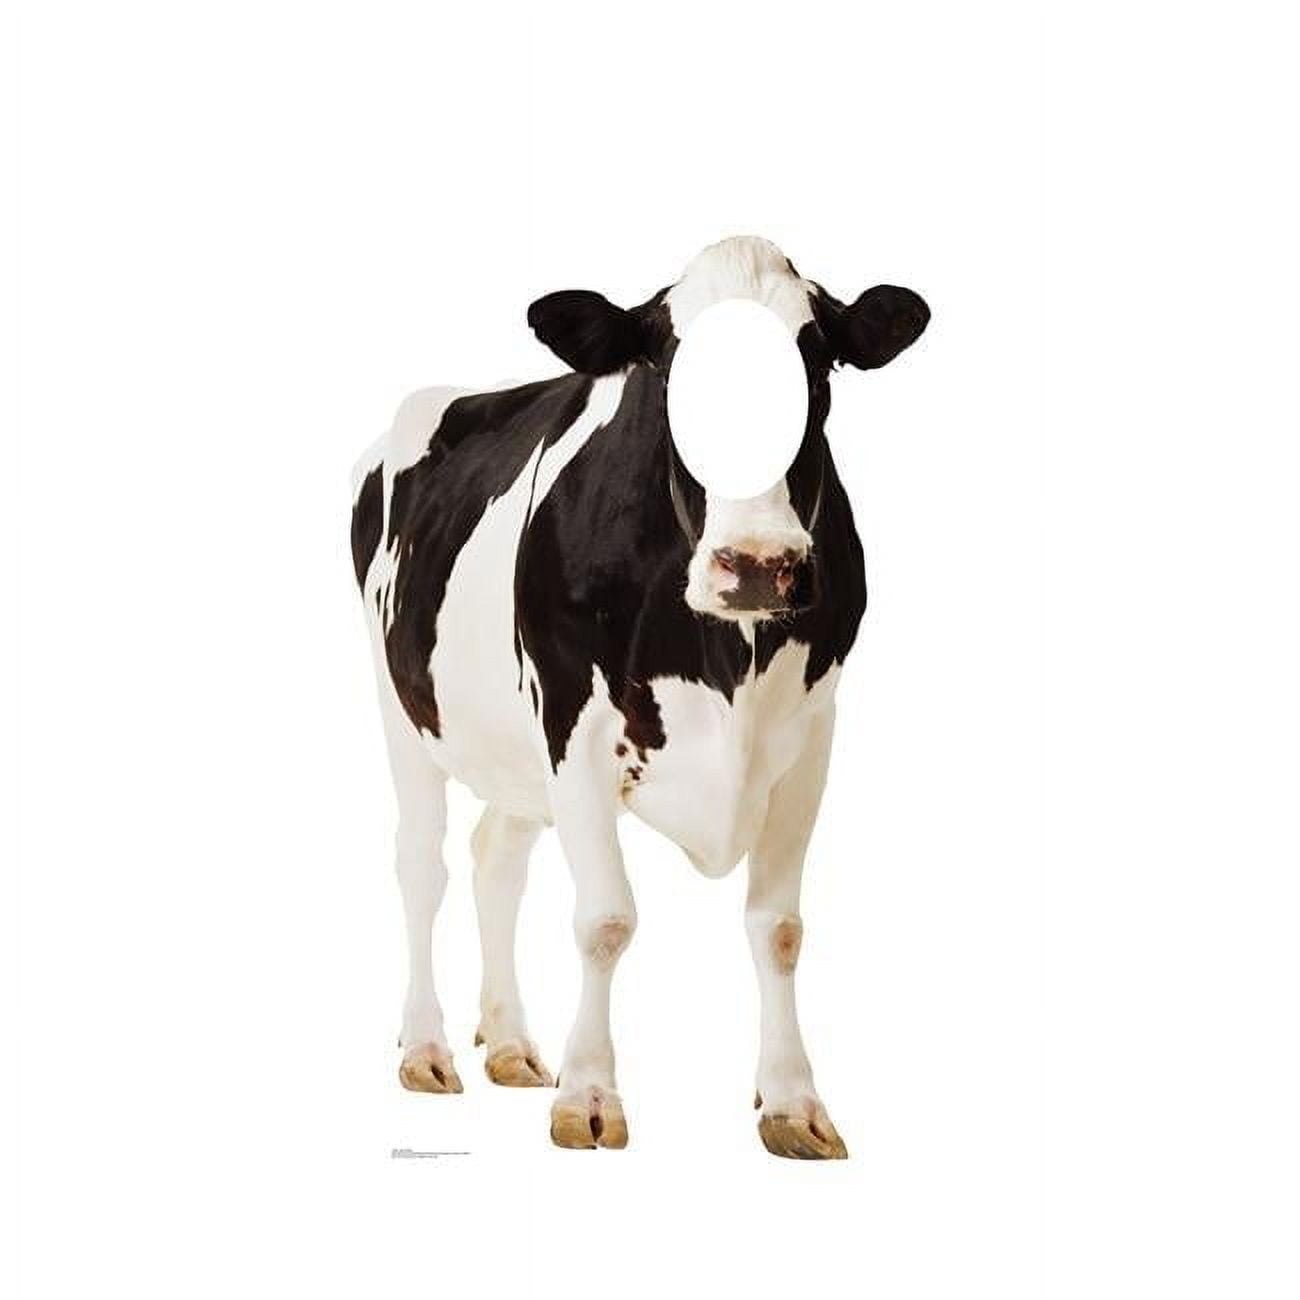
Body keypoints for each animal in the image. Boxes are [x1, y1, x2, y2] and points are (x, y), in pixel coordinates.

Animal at [350, 236, 929, 1158]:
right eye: (666, 366)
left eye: (818, 362)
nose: (758, 564)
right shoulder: (573, 724)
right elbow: (605, 919)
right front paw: (589, 1096)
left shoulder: (811, 736)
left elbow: (779, 927)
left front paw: (793, 1102)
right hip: (401, 703)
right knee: (420, 864)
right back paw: (426, 1048)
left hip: (513, 749)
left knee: (495, 857)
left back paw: (508, 1042)